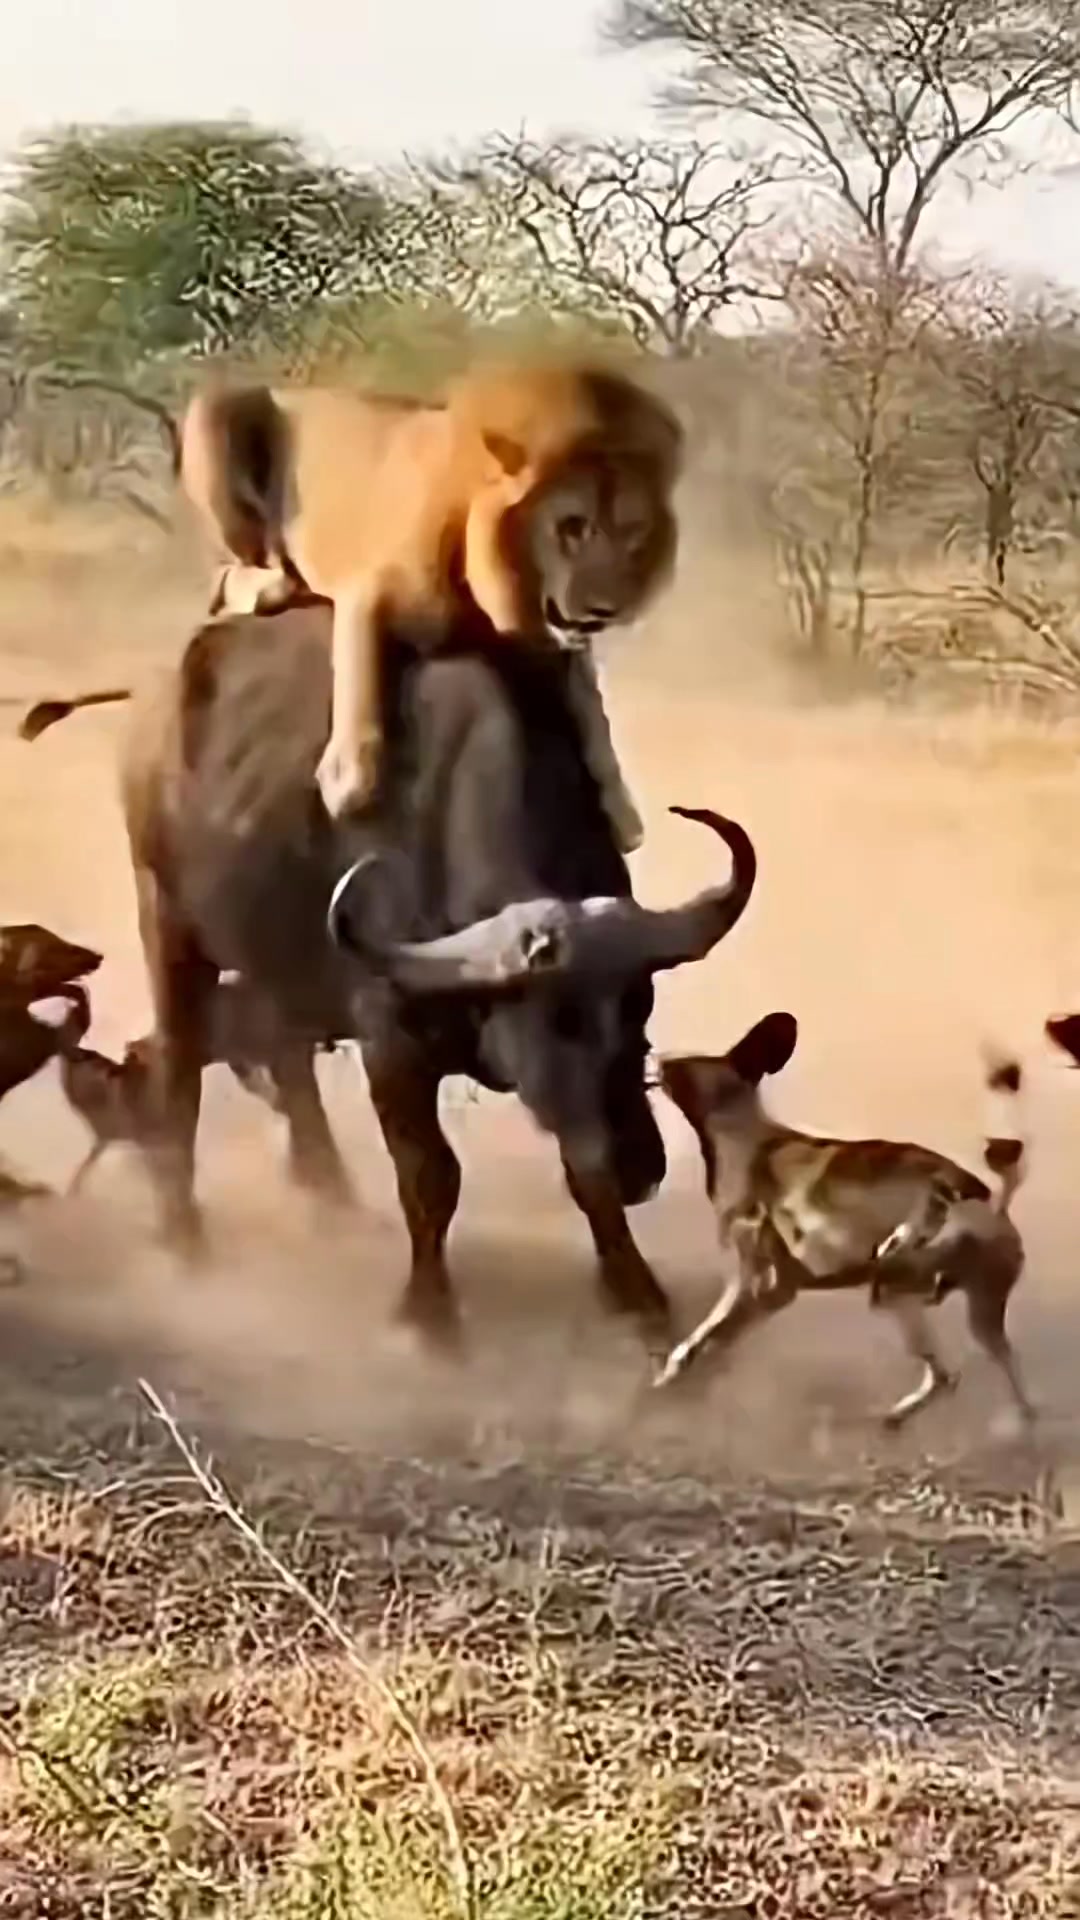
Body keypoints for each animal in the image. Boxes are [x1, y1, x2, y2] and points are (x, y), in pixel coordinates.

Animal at [177, 358, 684, 849]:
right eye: (573, 527)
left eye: (633, 532)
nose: (606, 610)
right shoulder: (368, 585)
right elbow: (358, 664)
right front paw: (347, 773)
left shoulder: (551, 643)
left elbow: (590, 704)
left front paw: (621, 806)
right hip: (214, 414)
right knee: (232, 570)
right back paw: (271, 586)